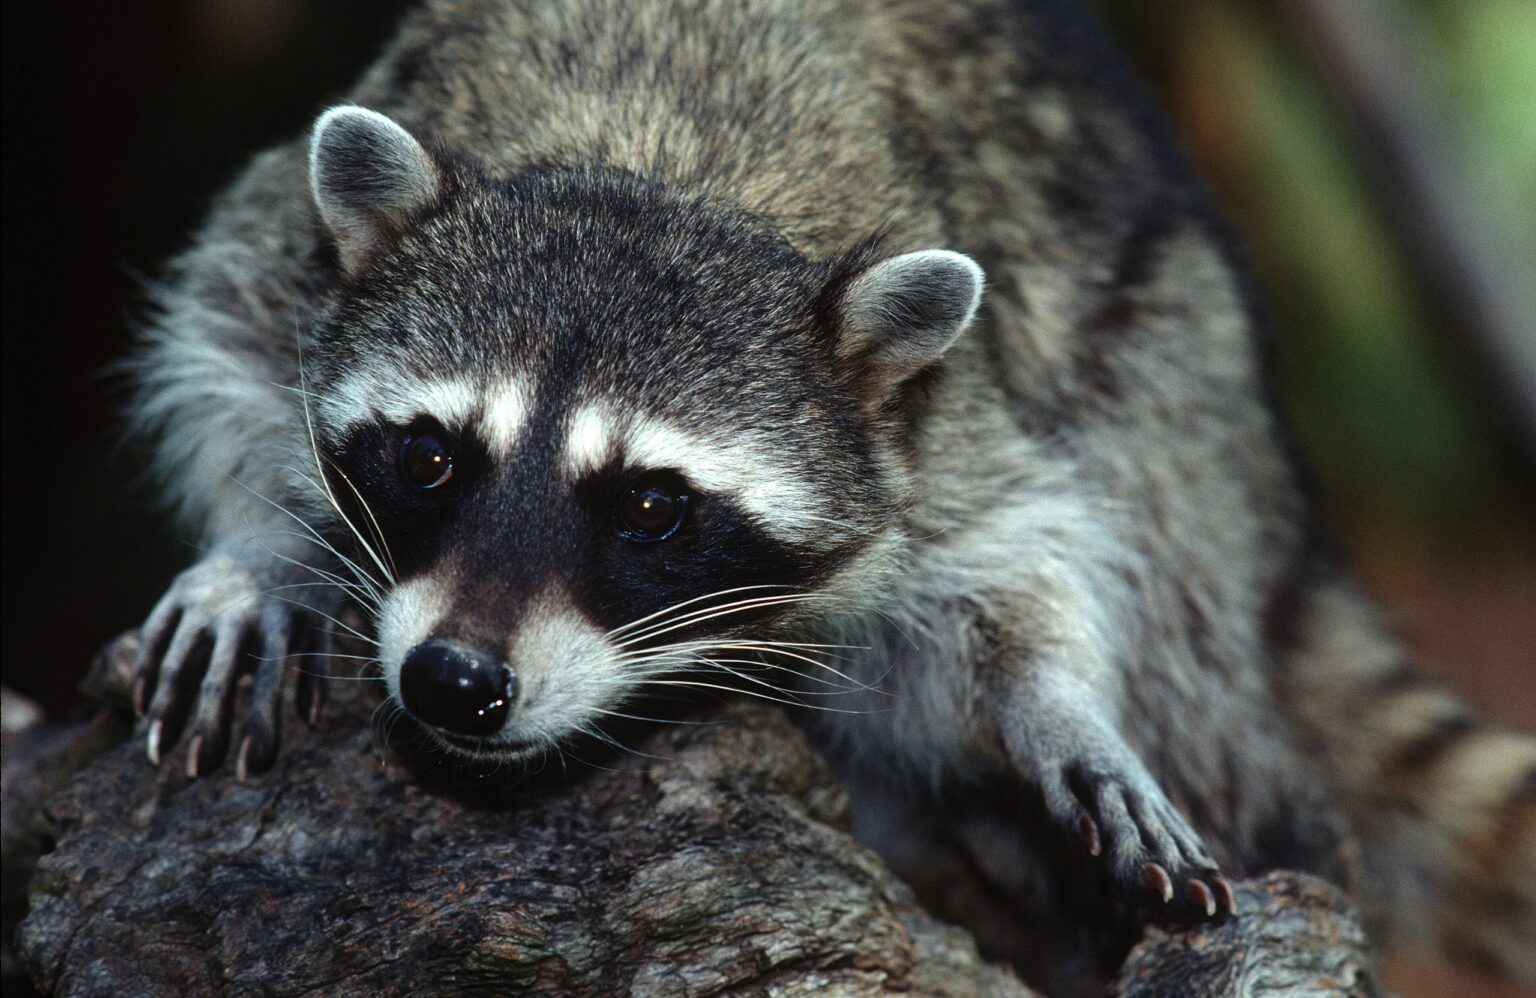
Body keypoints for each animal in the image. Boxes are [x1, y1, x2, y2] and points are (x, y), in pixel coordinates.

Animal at [124, 0, 1536, 986]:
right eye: (430, 458)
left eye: (650, 507)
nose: (455, 681)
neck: (652, 161)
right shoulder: (304, 241)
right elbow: (226, 336)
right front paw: (256, 550)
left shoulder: (931, 416)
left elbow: (1018, 551)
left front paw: (1060, 702)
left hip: (1180, 381)